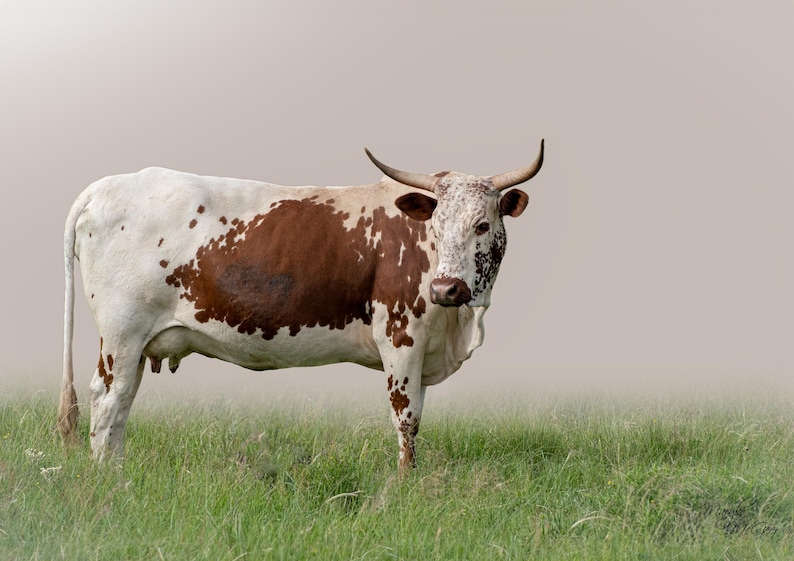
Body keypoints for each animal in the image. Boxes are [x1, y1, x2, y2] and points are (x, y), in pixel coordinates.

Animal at [57, 141, 544, 472]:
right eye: (436, 227)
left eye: (482, 224)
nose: (446, 289)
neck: (459, 322)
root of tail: (108, 185)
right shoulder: (401, 337)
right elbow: (406, 418)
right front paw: (407, 483)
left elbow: (415, 415)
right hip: (121, 333)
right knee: (108, 400)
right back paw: (108, 477)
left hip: (137, 344)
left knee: (122, 404)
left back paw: (119, 470)